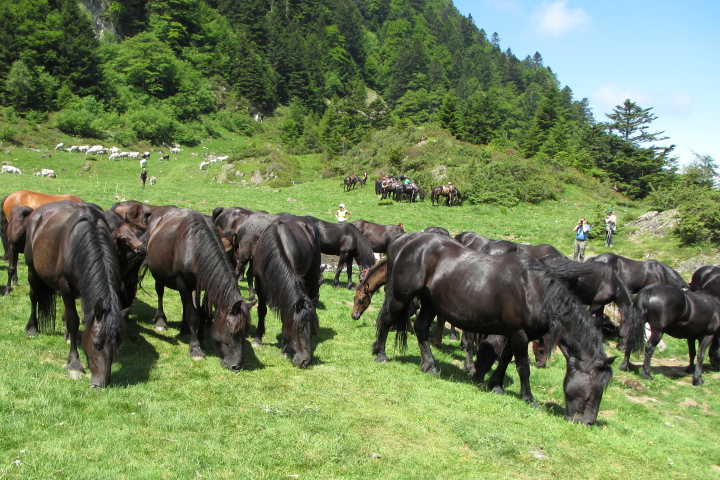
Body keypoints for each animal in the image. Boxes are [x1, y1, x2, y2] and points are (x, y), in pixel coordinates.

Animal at [20, 201, 128, 387]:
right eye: (97, 344)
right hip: (33, 270)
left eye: (116, 345)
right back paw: (33, 328)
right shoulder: (66, 287)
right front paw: (74, 362)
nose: (101, 383)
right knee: (34, 296)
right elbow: (73, 321)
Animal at [143, 206, 253, 371]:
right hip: (159, 274)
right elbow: (193, 315)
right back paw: (161, 322)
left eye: (246, 331)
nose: (237, 366)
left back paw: (184, 328)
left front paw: (200, 338)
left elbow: (202, 311)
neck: (195, 247)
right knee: (160, 292)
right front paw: (195, 348)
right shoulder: (184, 284)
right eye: (231, 331)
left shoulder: (206, 286)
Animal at [252, 215, 321, 368]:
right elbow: (261, 310)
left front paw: (285, 349)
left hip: (312, 274)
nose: (305, 361)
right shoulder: (259, 285)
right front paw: (257, 338)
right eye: (299, 328)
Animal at [374, 233, 617, 425]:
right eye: (594, 389)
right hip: (401, 296)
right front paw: (529, 399)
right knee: (386, 320)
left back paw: (430, 366)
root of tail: (406, 240)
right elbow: (522, 367)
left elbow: (505, 360)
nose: (587, 422)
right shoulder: (519, 334)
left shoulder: (515, 334)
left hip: (430, 303)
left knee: (421, 329)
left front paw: (495, 385)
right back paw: (380, 354)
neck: (535, 292)